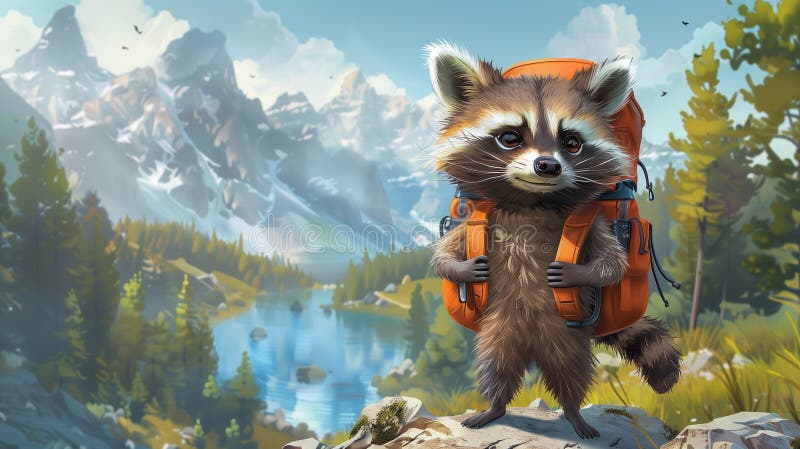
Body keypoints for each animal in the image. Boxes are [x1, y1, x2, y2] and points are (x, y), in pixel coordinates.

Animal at [425, 42, 681, 439]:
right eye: (510, 137)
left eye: (572, 142)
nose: (547, 165)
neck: (532, 201)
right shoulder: (480, 219)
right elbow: (443, 254)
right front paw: (464, 268)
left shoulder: (590, 222)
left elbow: (612, 264)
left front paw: (577, 273)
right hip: (498, 327)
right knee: (496, 364)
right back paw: (495, 405)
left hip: (567, 330)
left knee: (570, 369)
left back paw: (573, 411)